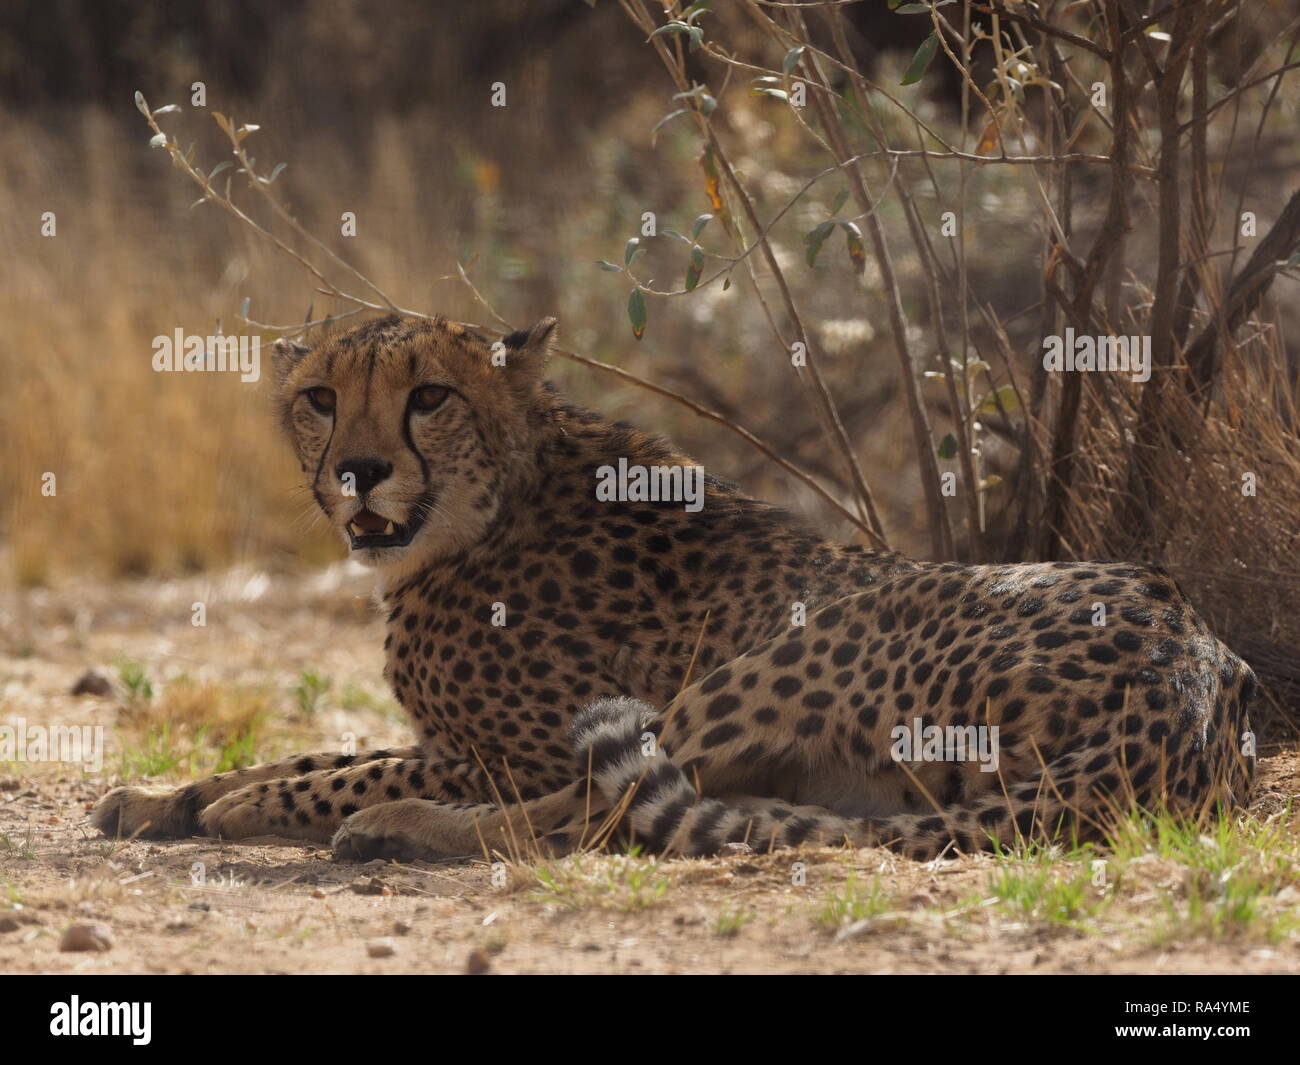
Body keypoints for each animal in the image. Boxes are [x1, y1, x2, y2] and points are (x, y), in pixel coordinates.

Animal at [91, 313, 1257, 862]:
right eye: (320, 398)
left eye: (428, 397)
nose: (359, 471)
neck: (499, 495)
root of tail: (1192, 676)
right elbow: (316, 752)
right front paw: (162, 797)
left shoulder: (512, 747)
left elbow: (344, 771)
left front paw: (245, 806)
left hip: (799, 641)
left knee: (589, 815)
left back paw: (401, 829)